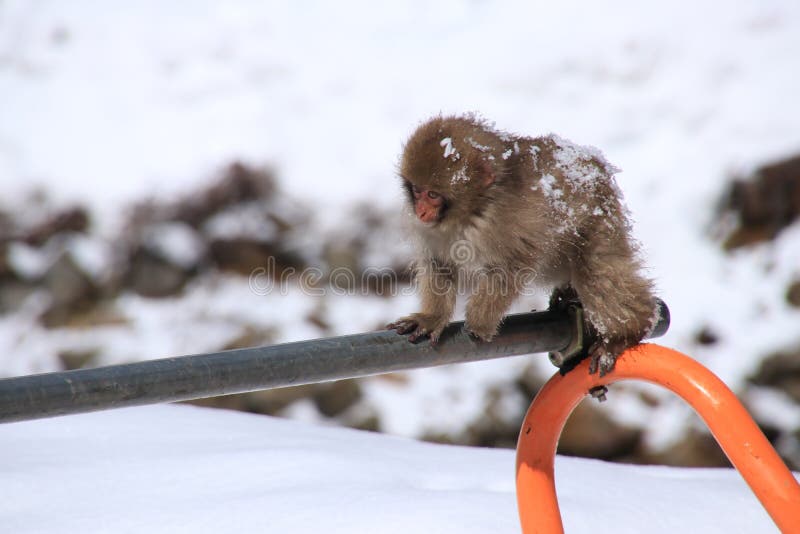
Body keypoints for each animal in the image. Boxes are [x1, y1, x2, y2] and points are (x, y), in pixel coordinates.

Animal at [387, 114, 658, 376]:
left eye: (433, 195)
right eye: (417, 191)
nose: (421, 211)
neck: (474, 210)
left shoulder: (509, 224)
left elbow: (511, 268)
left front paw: (480, 321)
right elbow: (439, 264)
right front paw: (432, 318)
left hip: (600, 219)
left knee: (596, 270)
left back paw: (626, 333)